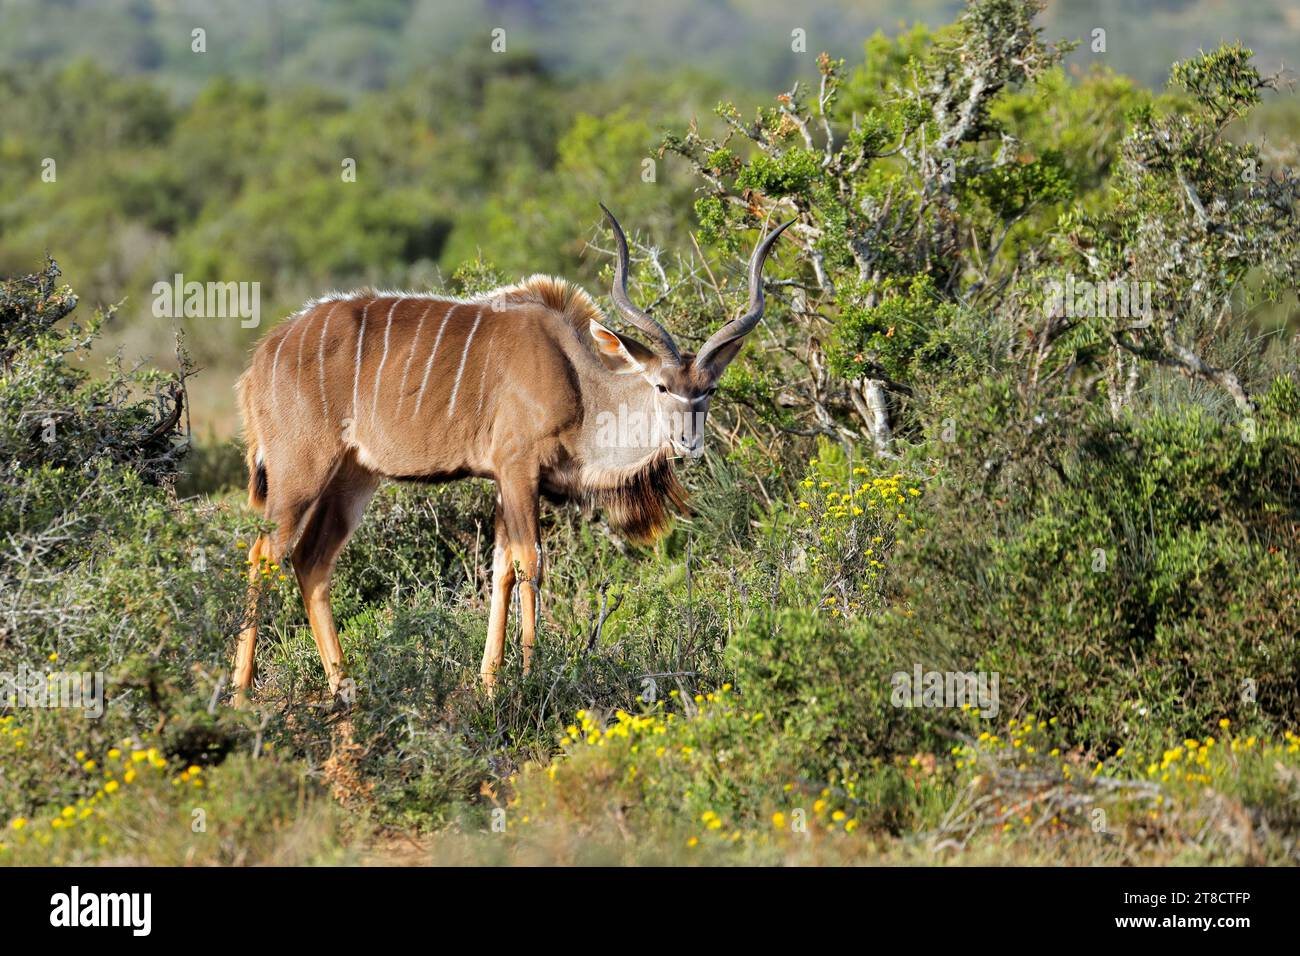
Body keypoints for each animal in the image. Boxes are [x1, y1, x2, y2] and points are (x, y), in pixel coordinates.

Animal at [233, 205, 792, 699]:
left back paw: (344, 687)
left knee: (311, 561)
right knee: (264, 555)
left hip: (355, 477)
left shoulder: (506, 481)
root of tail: (260, 360)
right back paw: (240, 694)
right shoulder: (518, 469)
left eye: (709, 389)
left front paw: (490, 682)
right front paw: (529, 673)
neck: (577, 380)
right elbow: (530, 562)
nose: (687, 441)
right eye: (660, 386)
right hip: (299, 472)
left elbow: (501, 567)